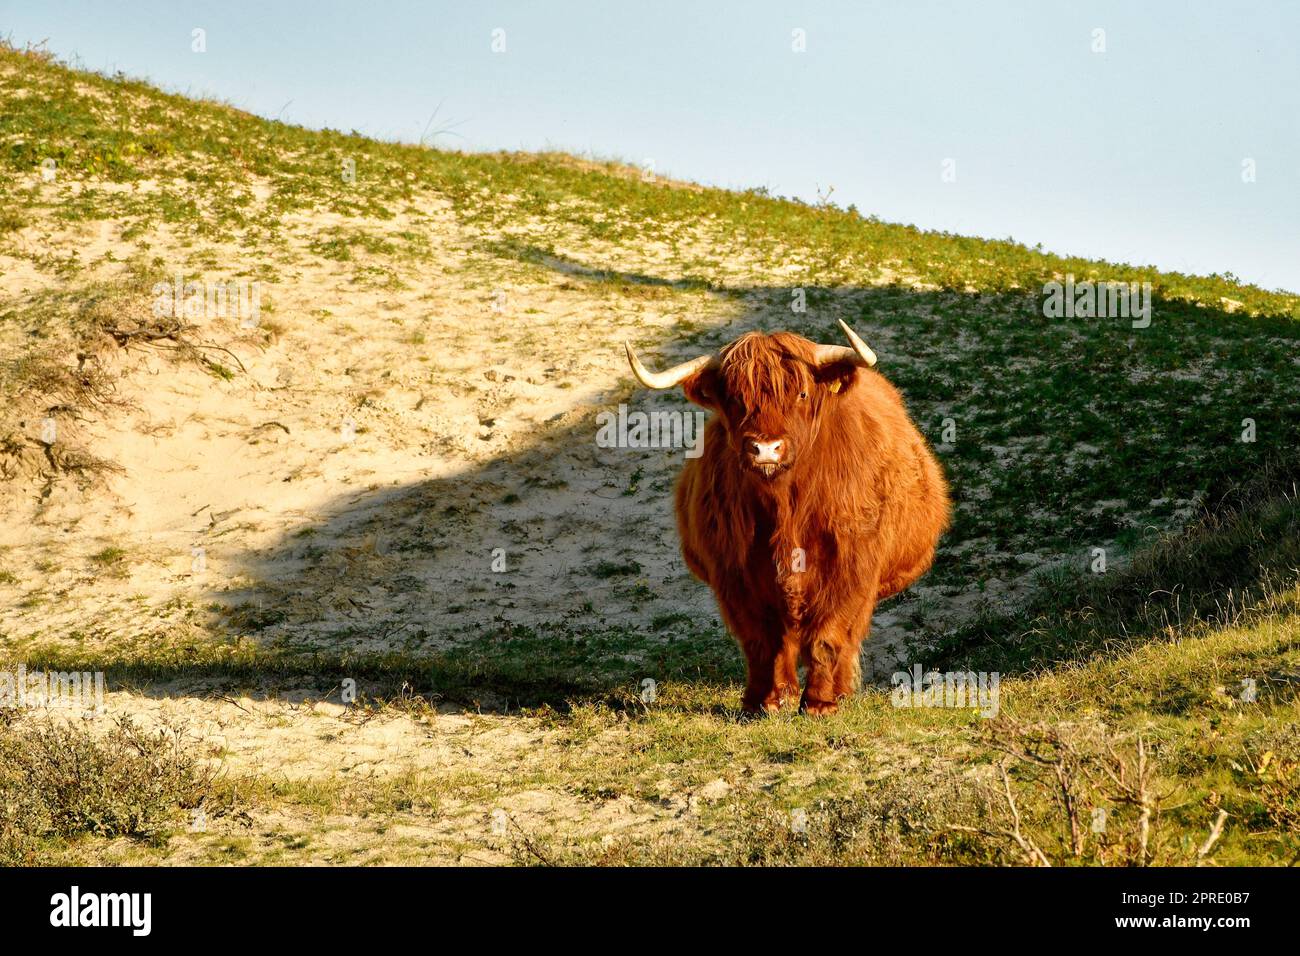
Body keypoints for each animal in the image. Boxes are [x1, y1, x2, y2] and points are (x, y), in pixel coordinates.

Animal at [625, 321, 950, 715]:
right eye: (734, 399)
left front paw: (820, 703)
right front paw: (763, 701)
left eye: (802, 393)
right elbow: (761, 641)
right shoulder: (733, 576)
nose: (766, 448)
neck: (785, 509)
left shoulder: (850, 570)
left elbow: (829, 636)